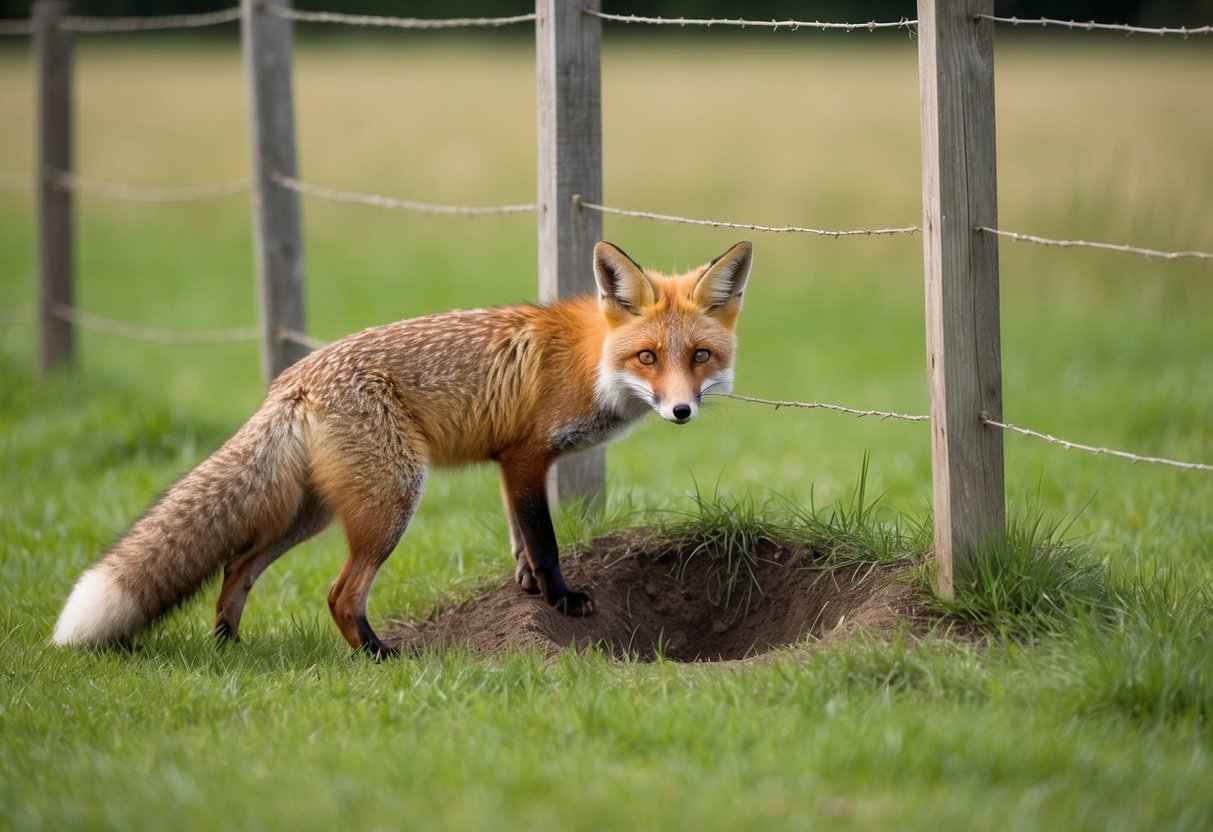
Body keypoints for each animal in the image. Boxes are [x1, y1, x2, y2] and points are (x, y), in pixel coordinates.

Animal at [52, 240, 752, 659]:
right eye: (648, 358)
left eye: (699, 356)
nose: (682, 410)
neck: (590, 363)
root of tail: (294, 379)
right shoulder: (526, 456)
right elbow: (545, 541)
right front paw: (559, 600)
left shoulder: (510, 465)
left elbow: (519, 539)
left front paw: (526, 589)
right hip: (391, 502)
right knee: (339, 593)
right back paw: (376, 655)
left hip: (313, 513)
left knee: (237, 567)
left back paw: (228, 646)